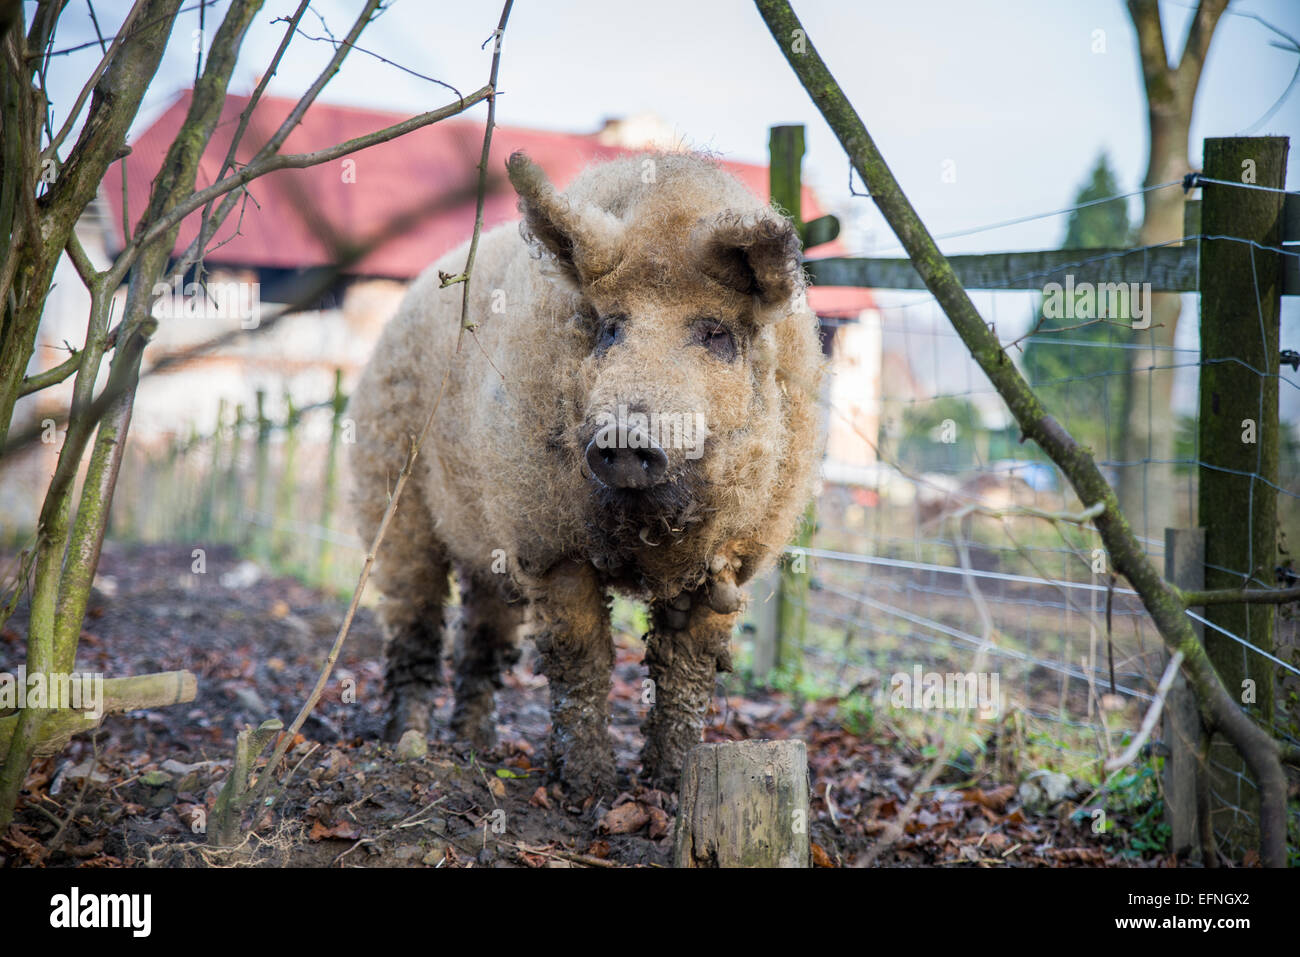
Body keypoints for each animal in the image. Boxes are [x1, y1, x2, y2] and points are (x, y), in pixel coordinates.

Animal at [348, 150, 824, 796]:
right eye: (610, 327)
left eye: (716, 333)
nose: (625, 438)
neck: (647, 535)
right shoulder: (548, 541)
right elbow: (581, 655)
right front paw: (588, 789)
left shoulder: (730, 562)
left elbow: (687, 667)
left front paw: (669, 784)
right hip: (393, 497)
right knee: (414, 622)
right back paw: (409, 744)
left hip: (487, 535)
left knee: (483, 639)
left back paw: (476, 745)